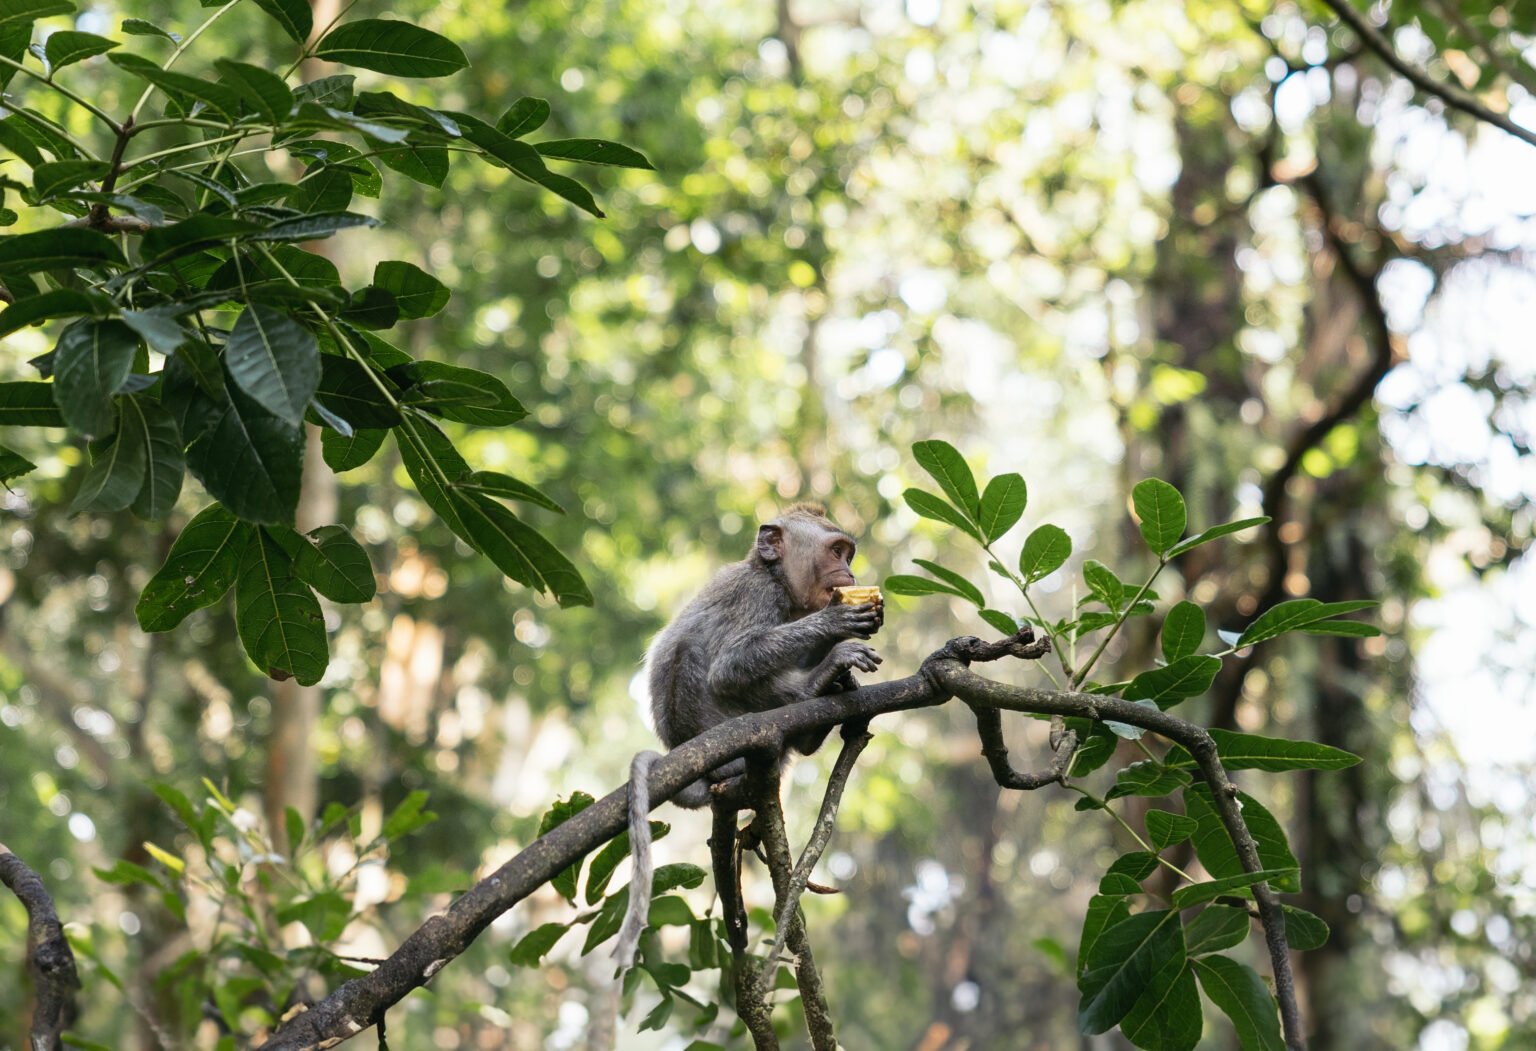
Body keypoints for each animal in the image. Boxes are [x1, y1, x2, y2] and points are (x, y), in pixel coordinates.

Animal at [613, 503, 884, 971]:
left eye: (848, 554)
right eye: (837, 551)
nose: (849, 573)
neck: (773, 576)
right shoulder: (757, 596)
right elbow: (731, 664)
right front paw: (835, 624)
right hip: (722, 718)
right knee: (716, 665)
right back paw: (816, 685)